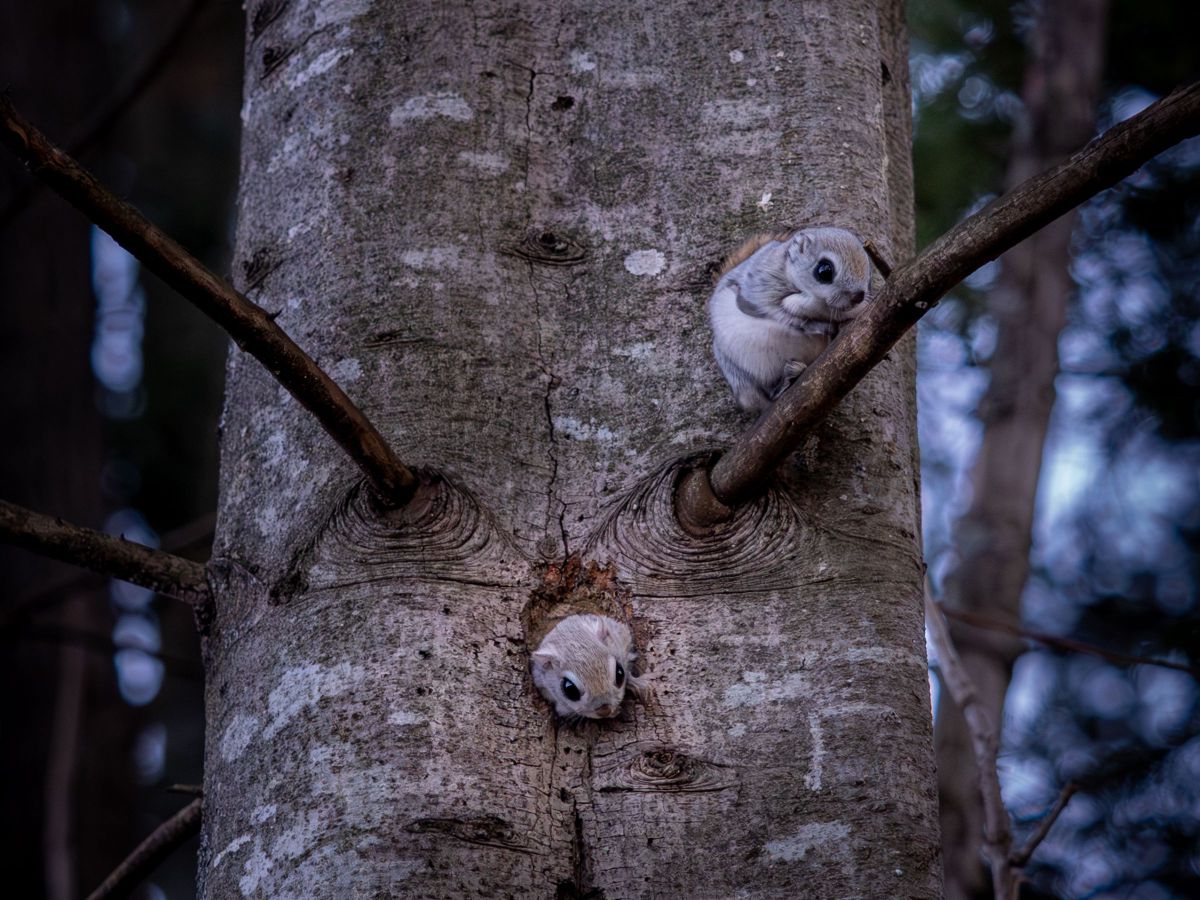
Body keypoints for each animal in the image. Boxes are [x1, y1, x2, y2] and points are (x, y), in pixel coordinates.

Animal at [708, 226, 871, 413]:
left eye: (869, 270)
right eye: (824, 271)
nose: (858, 296)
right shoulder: (759, 287)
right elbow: (781, 313)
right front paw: (805, 309)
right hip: (741, 374)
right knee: (759, 399)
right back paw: (784, 383)